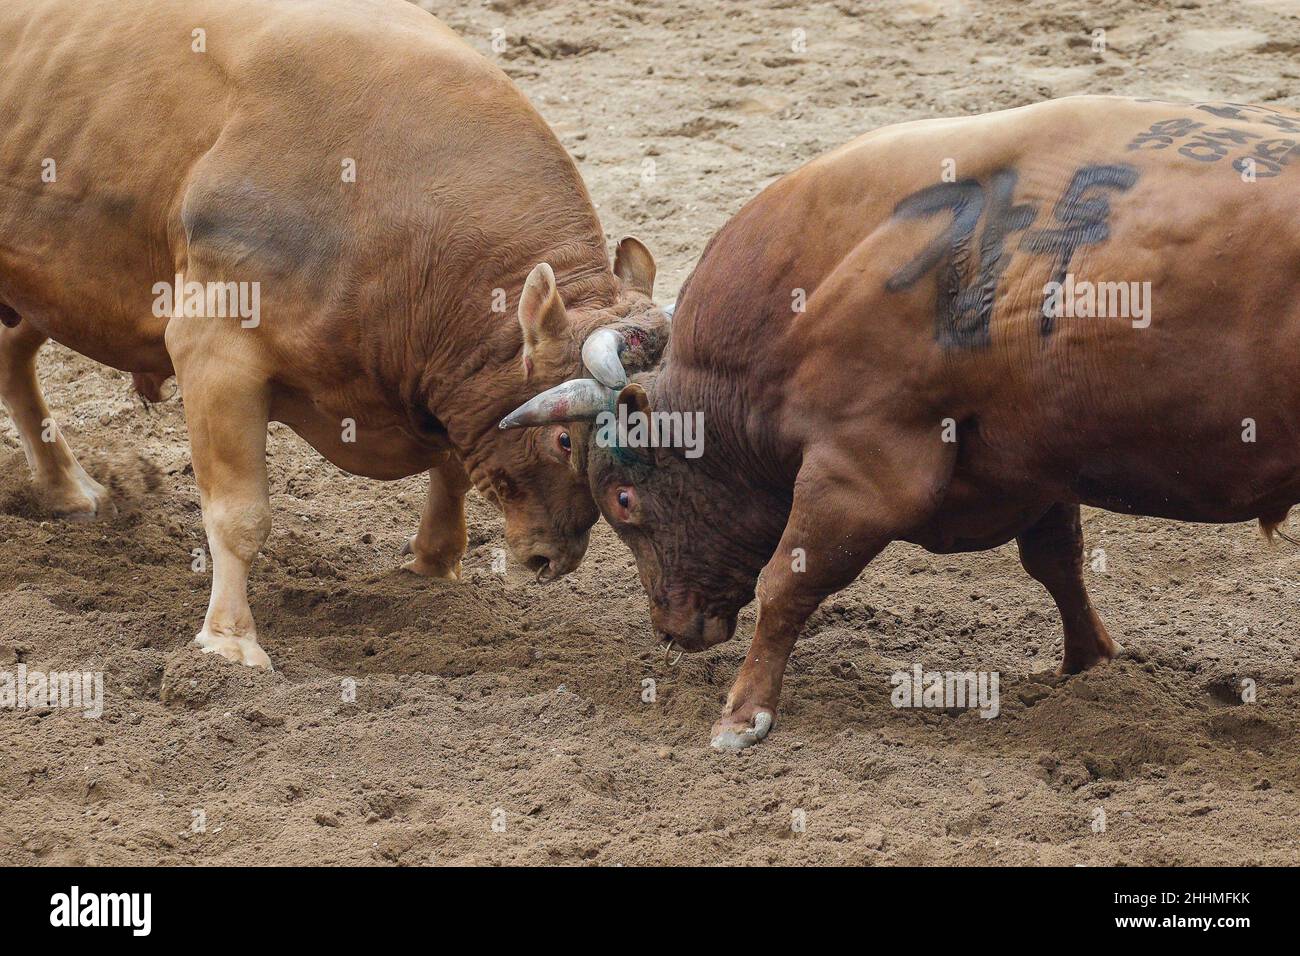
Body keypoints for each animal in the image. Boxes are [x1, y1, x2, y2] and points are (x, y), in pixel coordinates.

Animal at [0, 0, 668, 669]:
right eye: (562, 438)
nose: (555, 557)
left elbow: (452, 468)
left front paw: (435, 562)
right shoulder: (214, 350)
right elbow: (239, 515)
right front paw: (230, 642)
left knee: (13, 358)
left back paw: (66, 488)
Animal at [503, 95, 1300, 748]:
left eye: (624, 500)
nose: (672, 627)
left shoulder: (861, 469)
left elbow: (788, 582)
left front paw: (744, 713)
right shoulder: (1032, 462)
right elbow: (1057, 561)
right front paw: (1085, 662)